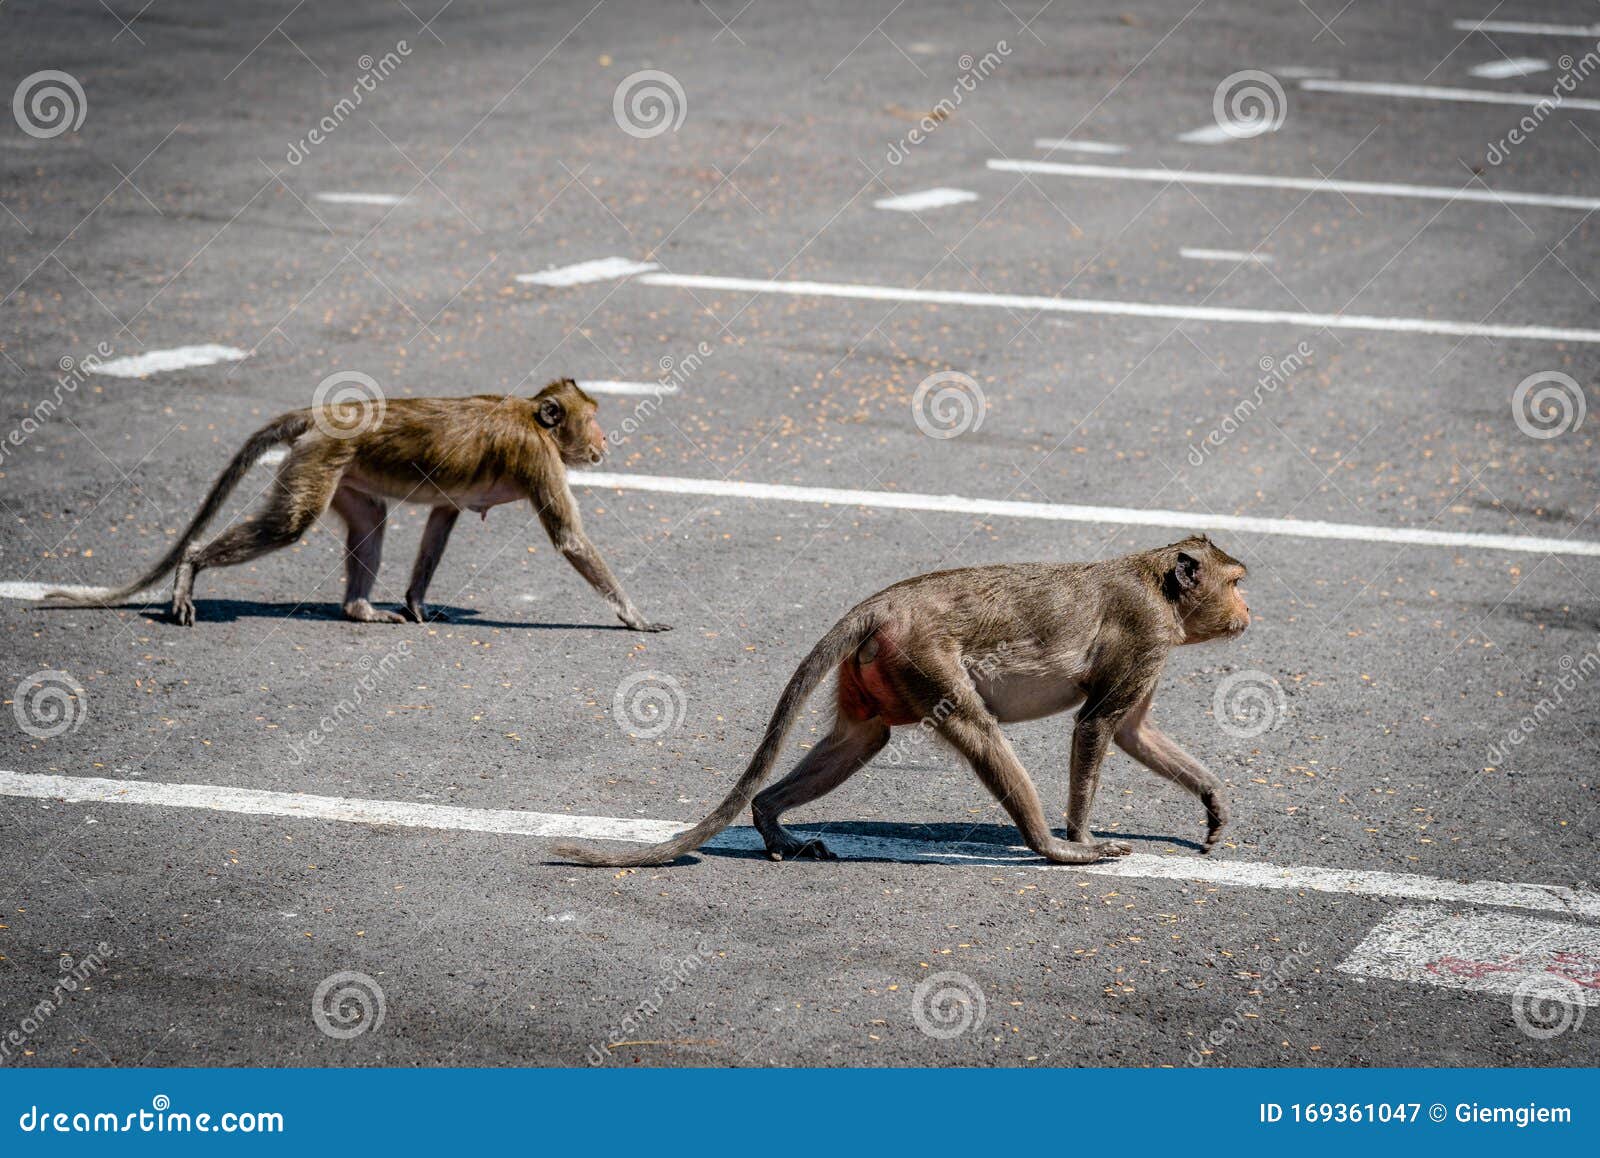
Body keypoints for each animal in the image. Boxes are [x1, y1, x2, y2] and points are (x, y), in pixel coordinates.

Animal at [45, 379, 670, 631]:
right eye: (592, 417)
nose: (605, 439)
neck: (532, 419)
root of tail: (324, 413)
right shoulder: (537, 457)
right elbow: (569, 539)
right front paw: (635, 617)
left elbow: (442, 518)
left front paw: (417, 604)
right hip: (321, 458)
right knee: (290, 524)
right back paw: (192, 563)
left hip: (338, 468)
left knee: (369, 519)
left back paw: (359, 609)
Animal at [556, 536, 1250, 868]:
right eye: (1237, 582)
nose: (1248, 611)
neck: (1158, 585)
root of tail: (883, 603)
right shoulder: (1147, 634)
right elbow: (1096, 725)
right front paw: (1081, 834)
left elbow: (1132, 732)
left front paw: (1214, 803)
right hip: (923, 657)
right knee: (978, 730)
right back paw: (1048, 848)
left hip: (879, 668)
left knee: (861, 739)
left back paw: (769, 818)